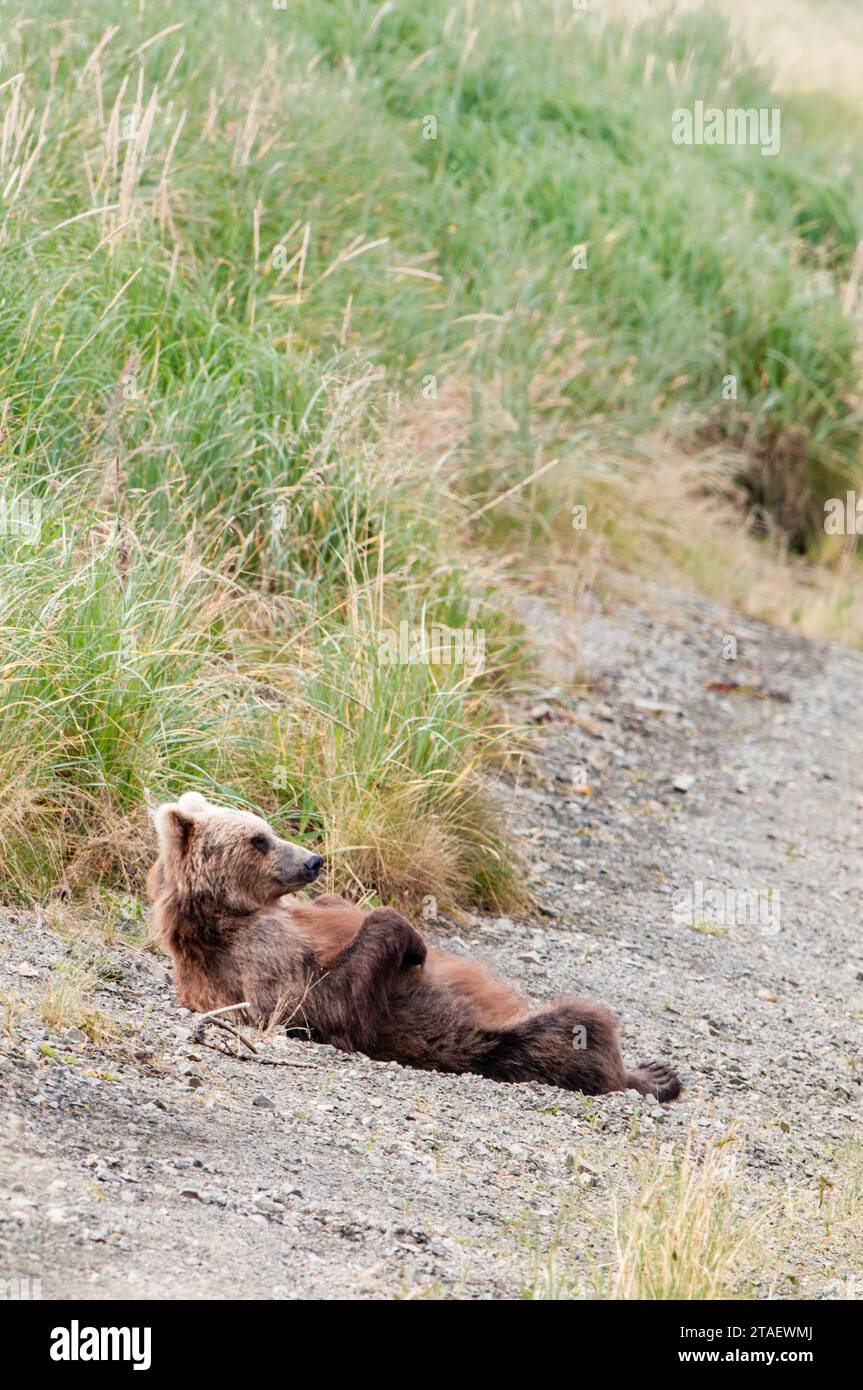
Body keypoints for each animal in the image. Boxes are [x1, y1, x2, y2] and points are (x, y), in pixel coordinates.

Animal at [148, 793, 683, 1100]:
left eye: (269, 829)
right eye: (258, 839)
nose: (314, 861)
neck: (238, 911)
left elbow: (333, 910)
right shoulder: (255, 959)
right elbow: (327, 1001)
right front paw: (415, 944)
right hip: (490, 1041)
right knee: (574, 1029)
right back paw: (650, 1076)